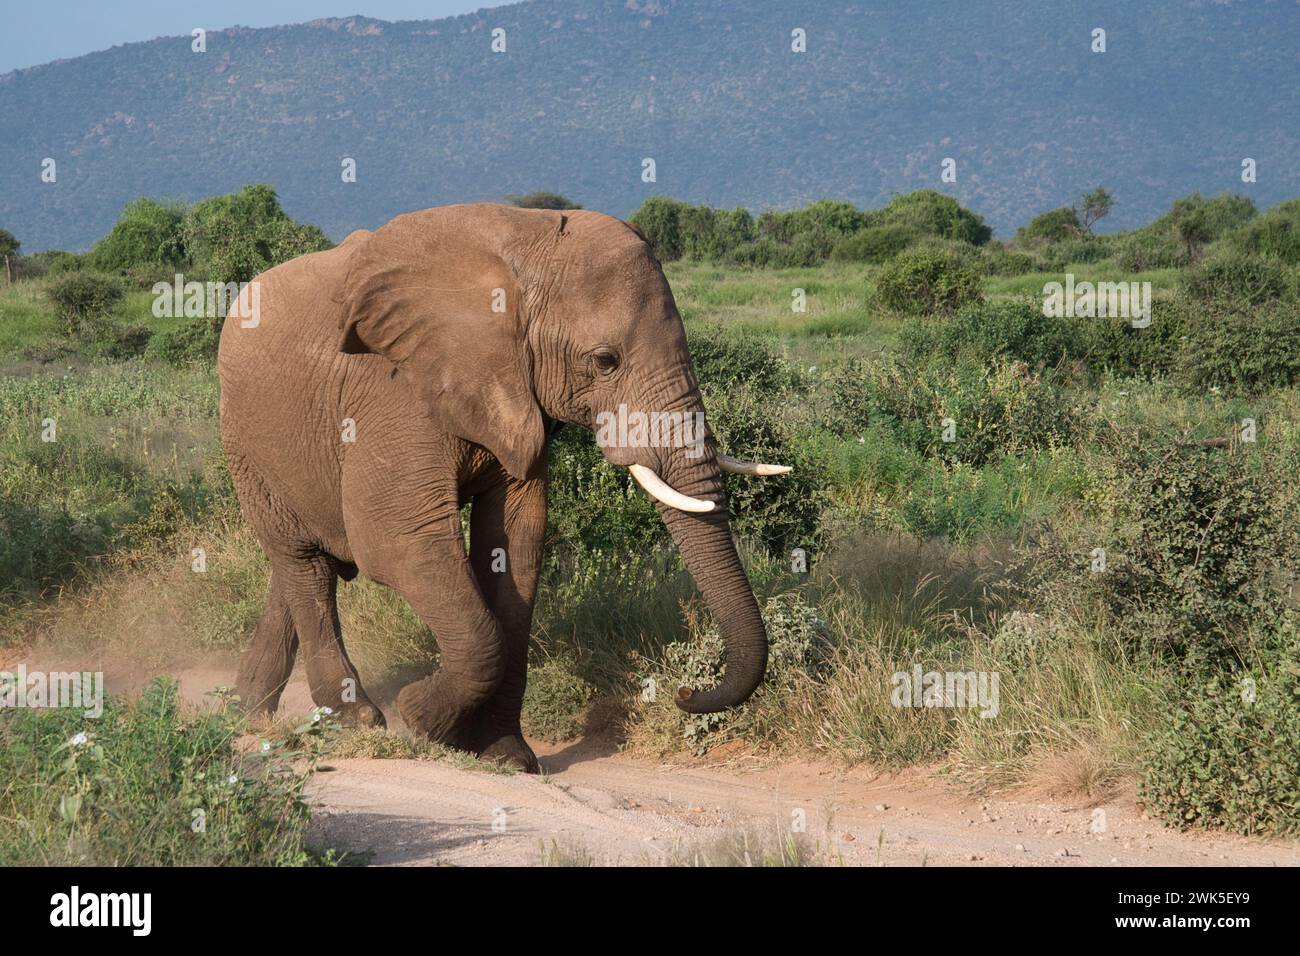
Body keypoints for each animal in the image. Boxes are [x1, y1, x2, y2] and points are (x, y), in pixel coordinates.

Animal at [217, 203, 789, 772]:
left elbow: (517, 543)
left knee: (307, 561)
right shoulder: (393, 393)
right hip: (244, 441)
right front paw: (422, 717)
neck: (528, 243)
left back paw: (250, 709)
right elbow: (396, 543)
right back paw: (351, 719)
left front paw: (505, 756)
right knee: (303, 562)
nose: (686, 693)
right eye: (605, 360)